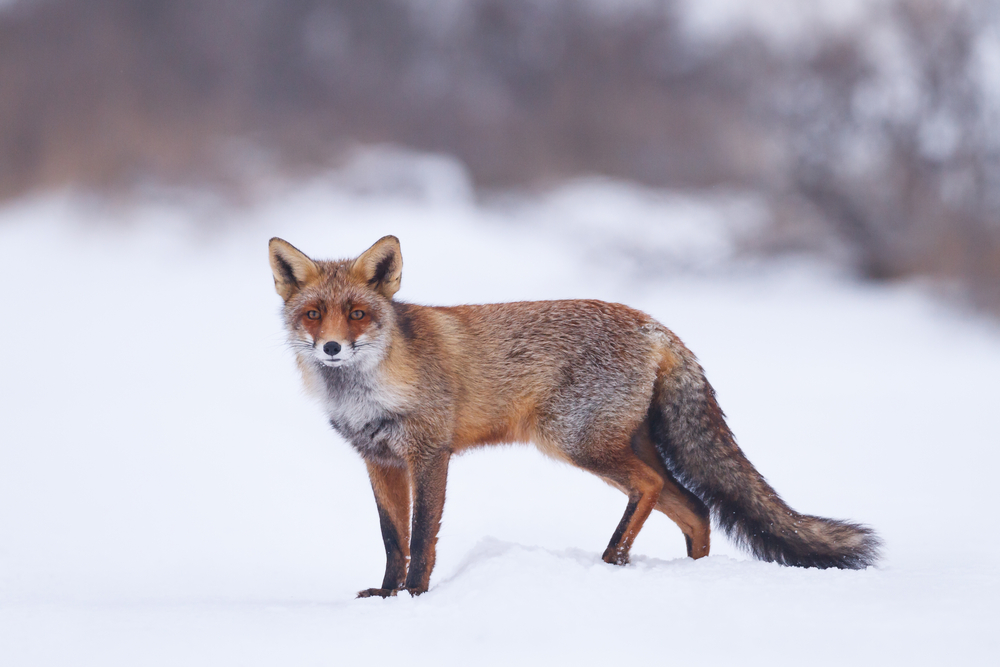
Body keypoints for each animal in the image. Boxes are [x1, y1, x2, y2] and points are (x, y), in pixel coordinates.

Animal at [269, 235, 880, 597]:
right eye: (314, 314)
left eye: (357, 314)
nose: (331, 348)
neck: (367, 391)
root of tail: (654, 324)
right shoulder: (378, 460)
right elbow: (391, 539)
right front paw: (386, 596)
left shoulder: (430, 454)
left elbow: (421, 539)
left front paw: (416, 597)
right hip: (620, 443)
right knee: (697, 508)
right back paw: (691, 577)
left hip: (578, 442)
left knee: (654, 487)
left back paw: (612, 561)